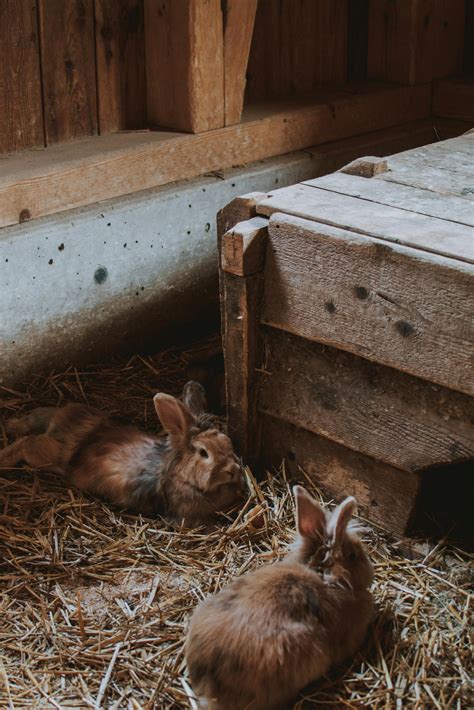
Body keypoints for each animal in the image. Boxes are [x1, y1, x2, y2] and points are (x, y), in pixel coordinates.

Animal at [0, 381, 246, 524]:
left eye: (227, 443)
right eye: (204, 453)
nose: (232, 470)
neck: (182, 477)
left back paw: (10, 425)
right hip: (49, 456)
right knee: (27, 443)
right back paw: (4, 457)